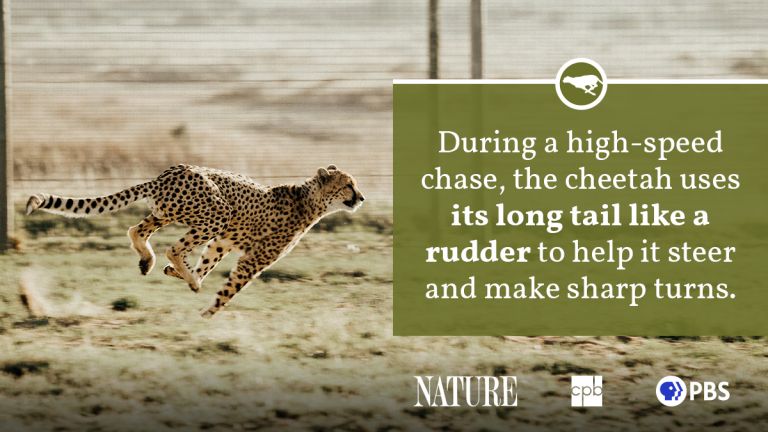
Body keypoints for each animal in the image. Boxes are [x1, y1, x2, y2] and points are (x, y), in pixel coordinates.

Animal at [25, 164, 365, 318]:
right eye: (348, 185)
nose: (361, 197)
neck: (308, 200)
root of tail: (168, 172)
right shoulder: (252, 258)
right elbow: (229, 289)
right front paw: (207, 313)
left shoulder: (223, 242)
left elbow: (208, 261)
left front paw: (183, 276)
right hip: (216, 212)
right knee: (172, 247)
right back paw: (183, 274)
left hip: (169, 213)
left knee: (137, 230)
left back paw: (151, 262)